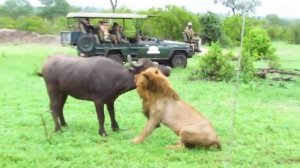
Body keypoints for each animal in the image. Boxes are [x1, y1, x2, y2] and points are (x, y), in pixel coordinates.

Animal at [40, 55, 170, 136]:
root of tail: (47, 63)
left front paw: (116, 128)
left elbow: (112, 114)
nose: (168, 69)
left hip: (63, 92)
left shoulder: (111, 100)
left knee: (60, 107)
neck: (115, 77)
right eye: (151, 68)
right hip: (52, 90)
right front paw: (102, 132)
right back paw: (58, 129)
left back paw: (64, 124)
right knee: (53, 108)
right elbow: (101, 117)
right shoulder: (98, 100)